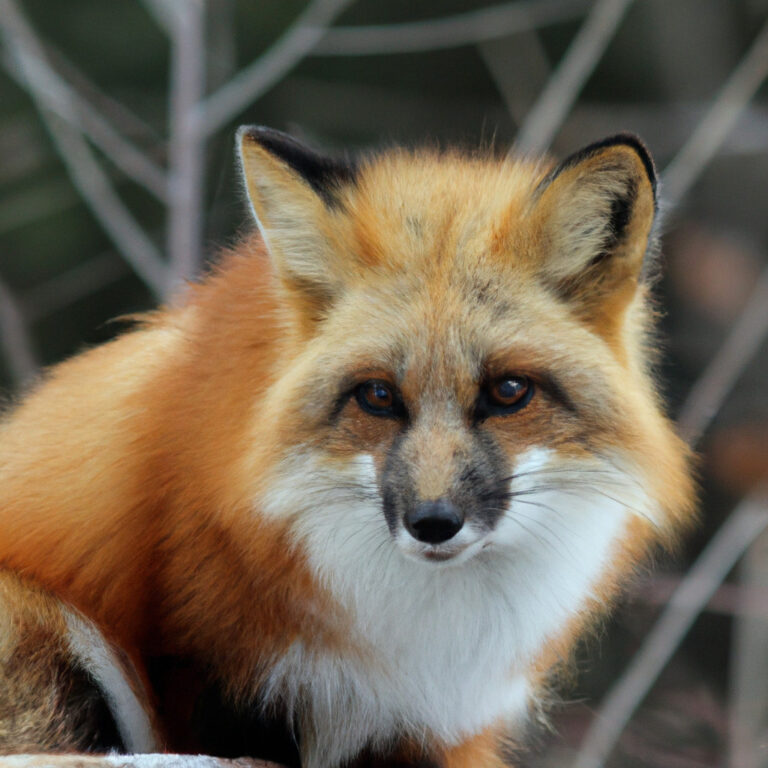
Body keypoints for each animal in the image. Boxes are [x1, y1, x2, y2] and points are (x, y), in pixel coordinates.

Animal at [0, 127, 694, 767]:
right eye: (379, 396)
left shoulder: (441, 726)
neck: (418, 634)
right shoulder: (204, 667)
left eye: (509, 391)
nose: (433, 523)